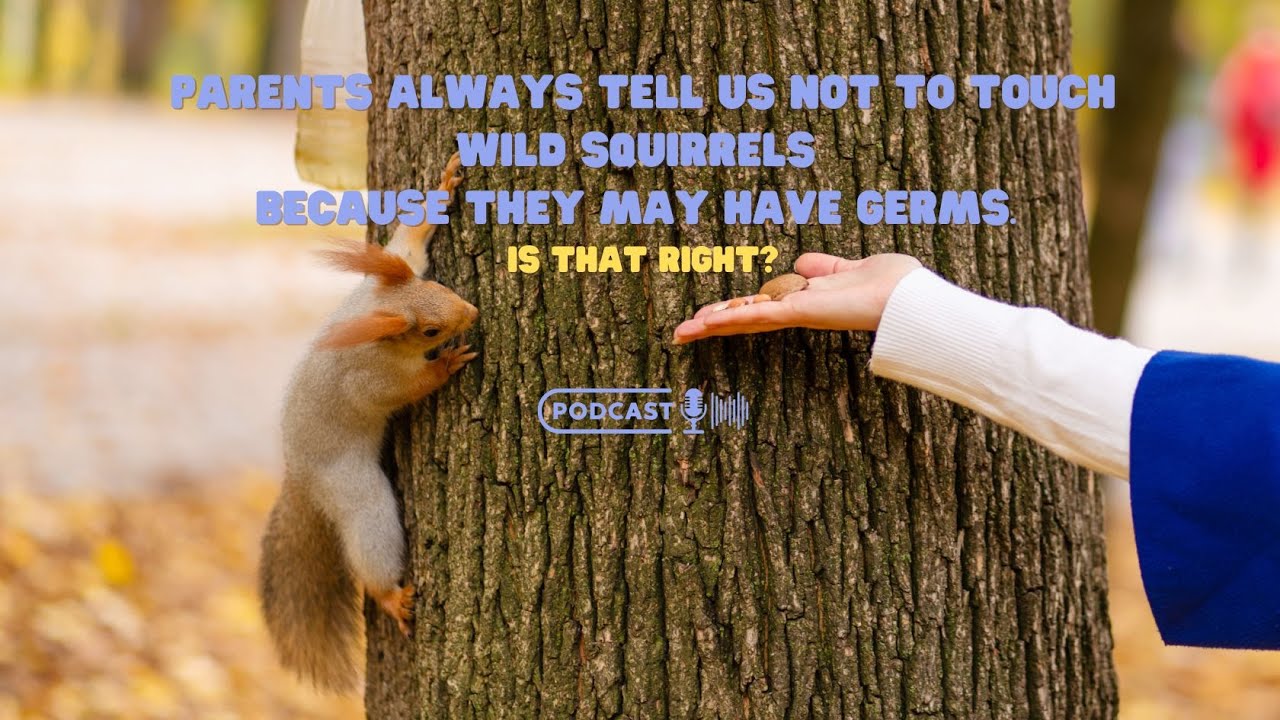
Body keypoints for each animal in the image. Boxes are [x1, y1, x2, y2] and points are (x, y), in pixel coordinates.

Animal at [259, 153, 476, 693]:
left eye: (437, 286)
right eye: (431, 331)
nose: (473, 311)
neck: (376, 315)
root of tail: (300, 480)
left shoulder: (391, 275)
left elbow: (407, 243)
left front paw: (442, 188)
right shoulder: (374, 382)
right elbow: (406, 388)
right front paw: (446, 364)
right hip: (356, 494)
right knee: (370, 538)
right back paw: (391, 597)